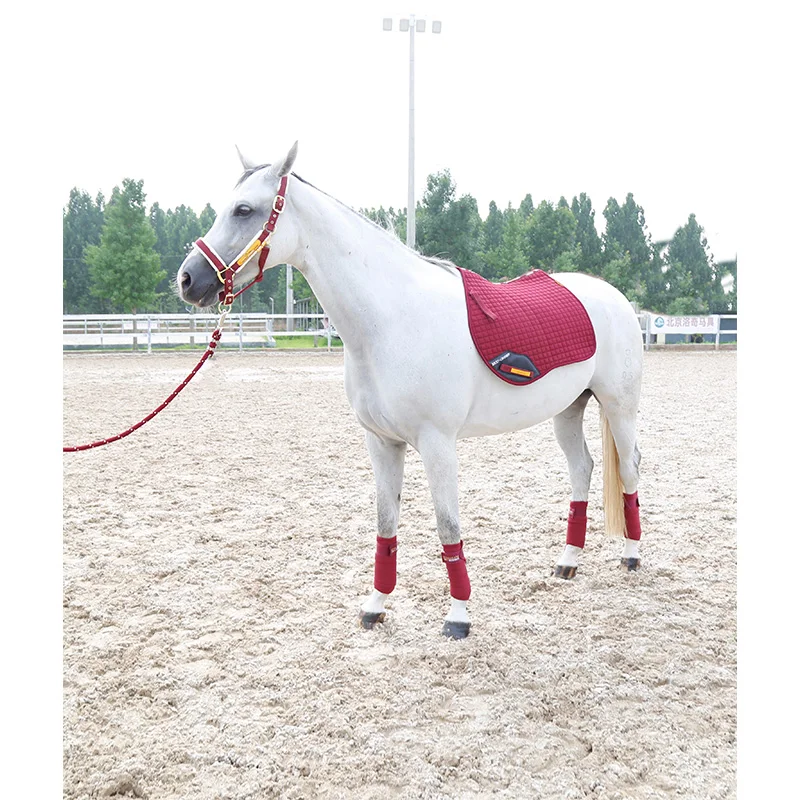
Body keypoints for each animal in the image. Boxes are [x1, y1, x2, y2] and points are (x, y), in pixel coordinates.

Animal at [177, 143, 644, 639]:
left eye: (244, 210)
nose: (187, 280)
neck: (392, 320)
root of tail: (614, 297)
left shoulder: (438, 444)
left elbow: (447, 527)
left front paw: (458, 616)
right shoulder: (381, 443)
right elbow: (386, 525)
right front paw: (375, 606)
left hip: (619, 407)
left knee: (629, 469)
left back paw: (632, 556)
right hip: (568, 410)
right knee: (582, 468)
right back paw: (567, 562)